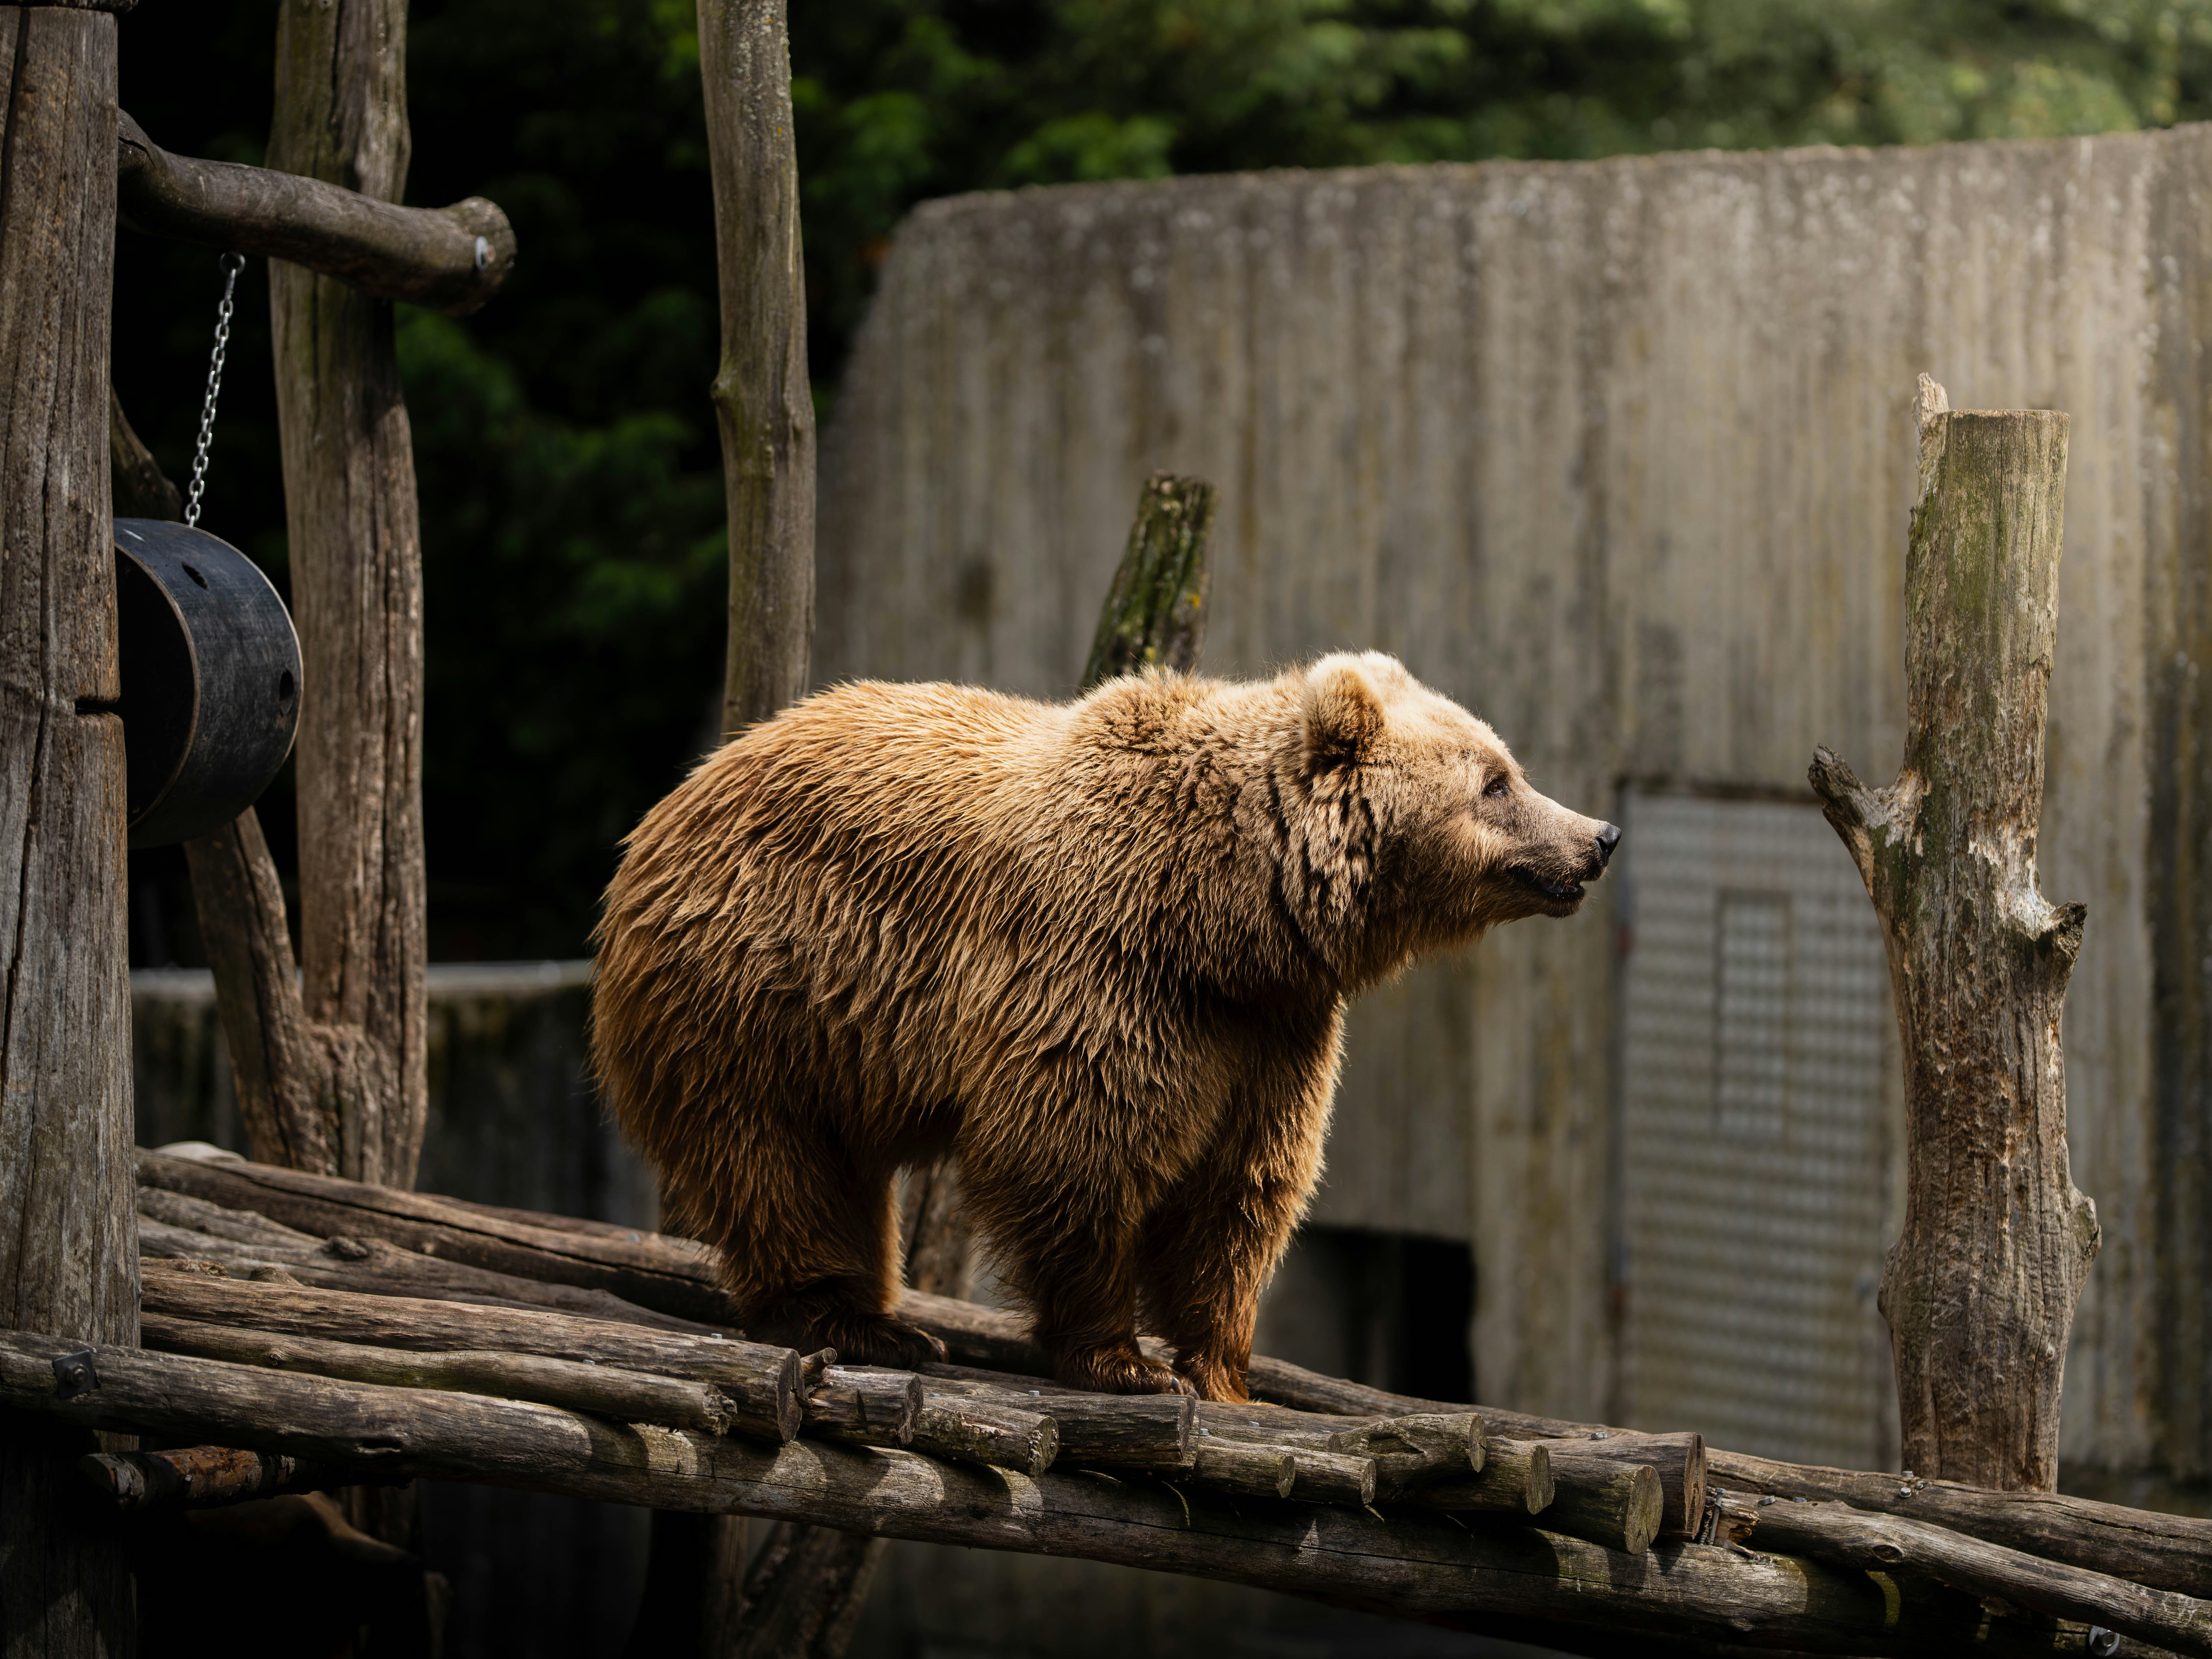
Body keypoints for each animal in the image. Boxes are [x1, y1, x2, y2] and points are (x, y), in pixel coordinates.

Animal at [590, 651, 1618, 1402]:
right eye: (1495, 780)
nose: (1598, 837)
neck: (1225, 912)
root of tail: (683, 793)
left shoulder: (1270, 1029)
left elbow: (1243, 1182)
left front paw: (1221, 1366)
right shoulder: (1105, 967)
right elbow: (1079, 1147)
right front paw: (1122, 1358)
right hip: (758, 990)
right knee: (777, 1156)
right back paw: (852, 1317)